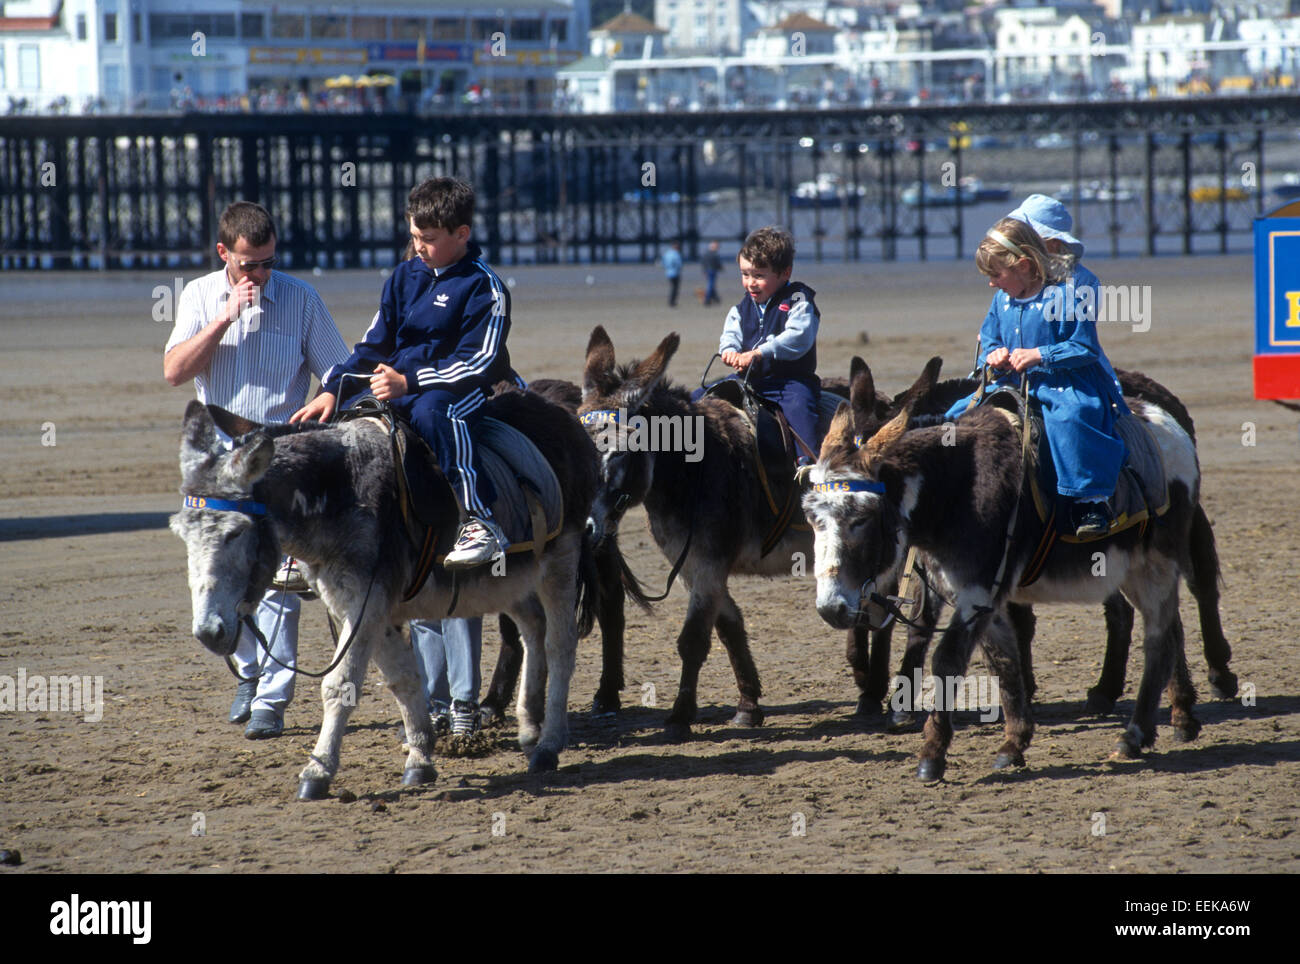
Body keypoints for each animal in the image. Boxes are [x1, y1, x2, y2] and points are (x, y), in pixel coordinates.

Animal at [169, 391, 598, 800]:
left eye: (235, 532)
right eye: (181, 534)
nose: (208, 632)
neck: (341, 491)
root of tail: (560, 415)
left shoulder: (366, 606)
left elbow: (339, 686)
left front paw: (317, 772)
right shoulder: (364, 610)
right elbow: (403, 679)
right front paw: (420, 760)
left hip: (561, 560)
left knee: (560, 645)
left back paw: (548, 746)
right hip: (514, 580)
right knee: (533, 631)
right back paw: (529, 729)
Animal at [803, 359, 1205, 780]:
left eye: (861, 518)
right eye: (812, 517)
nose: (832, 608)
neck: (957, 489)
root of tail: (1163, 418)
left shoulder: (977, 591)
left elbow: (947, 659)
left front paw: (932, 755)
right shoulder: (978, 596)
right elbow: (1002, 661)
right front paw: (1014, 744)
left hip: (1157, 565)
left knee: (1159, 639)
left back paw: (1135, 734)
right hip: (1132, 571)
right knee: (1170, 629)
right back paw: (1177, 719)